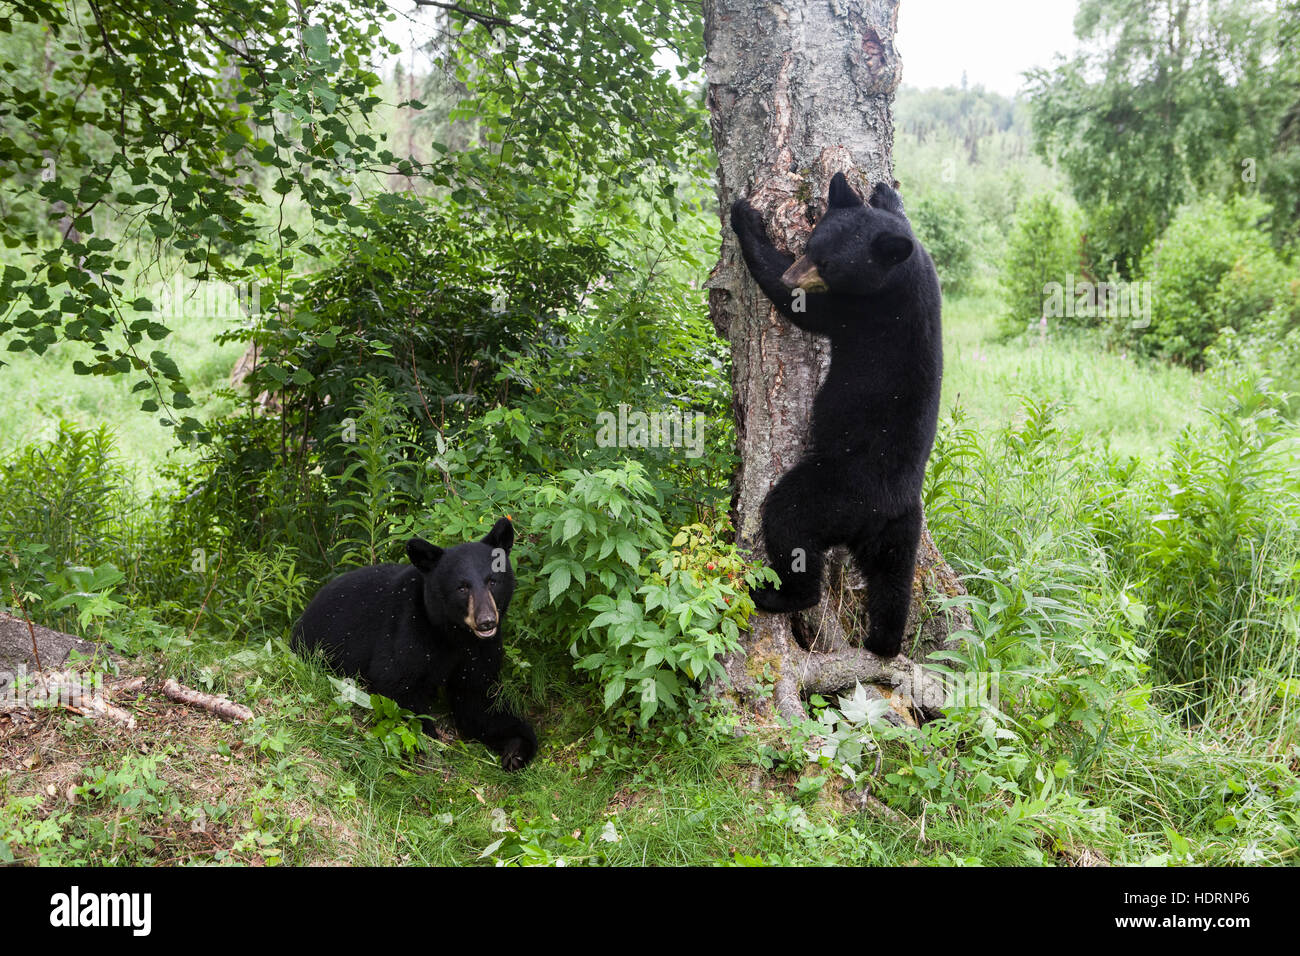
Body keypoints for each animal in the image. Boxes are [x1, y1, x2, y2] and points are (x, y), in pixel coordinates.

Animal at [292, 517, 537, 771]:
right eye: (462, 587)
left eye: (493, 581)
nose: (486, 621)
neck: (454, 634)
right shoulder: (409, 628)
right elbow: (396, 682)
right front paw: (429, 741)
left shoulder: (481, 649)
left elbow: (478, 699)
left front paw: (516, 749)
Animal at [729, 172, 942, 658]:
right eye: (809, 244)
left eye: (826, 263)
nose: (792, 271)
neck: (903, 275)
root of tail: (879, 513)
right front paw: (885, 193)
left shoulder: (859, 308)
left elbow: (801, 308)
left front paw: (746, 219)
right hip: (903, 533)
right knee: (892, 586)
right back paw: (882, 643)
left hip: (833, 492)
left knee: (789, 522)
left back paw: (779, 595)